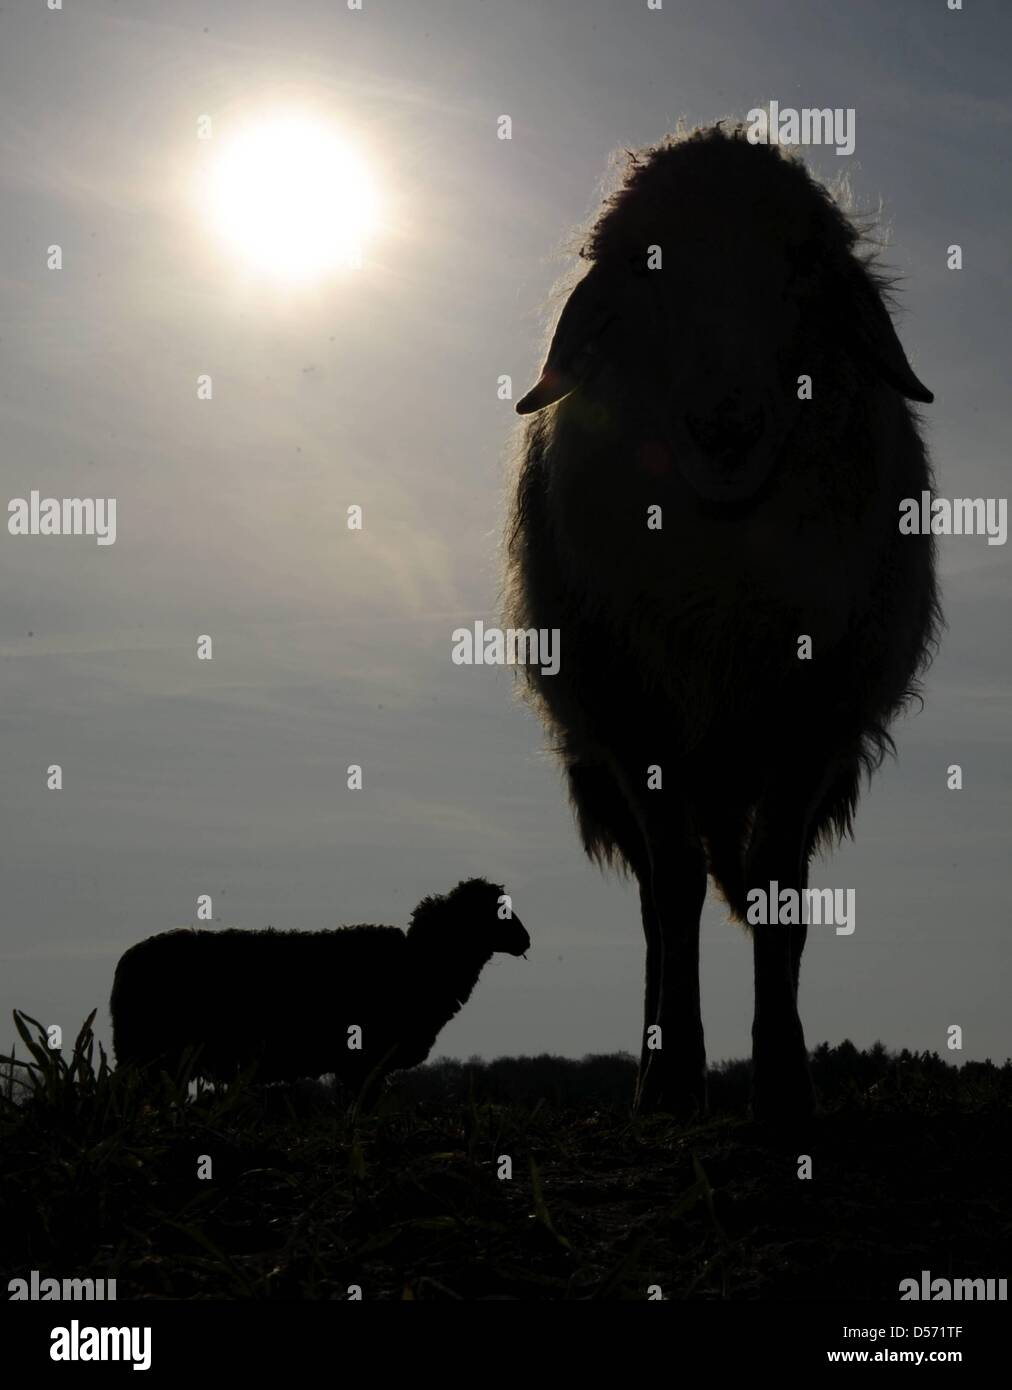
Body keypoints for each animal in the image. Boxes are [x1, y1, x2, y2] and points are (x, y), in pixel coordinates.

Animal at [110, 878, 530, 1093]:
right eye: (495, 911)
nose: (526, 940)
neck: (419, 965)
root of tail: (127, 960)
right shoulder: (362, 1063)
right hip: (147, 1055)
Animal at [505, 122, 940, 1121]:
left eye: (800, 270)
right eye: (648, 266)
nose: (727, 428)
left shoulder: (814, 724)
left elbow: (778, 886)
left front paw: (782, 1079)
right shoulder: (633, 723)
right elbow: (671, 892)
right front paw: (671, 1080)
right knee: (660, 908)